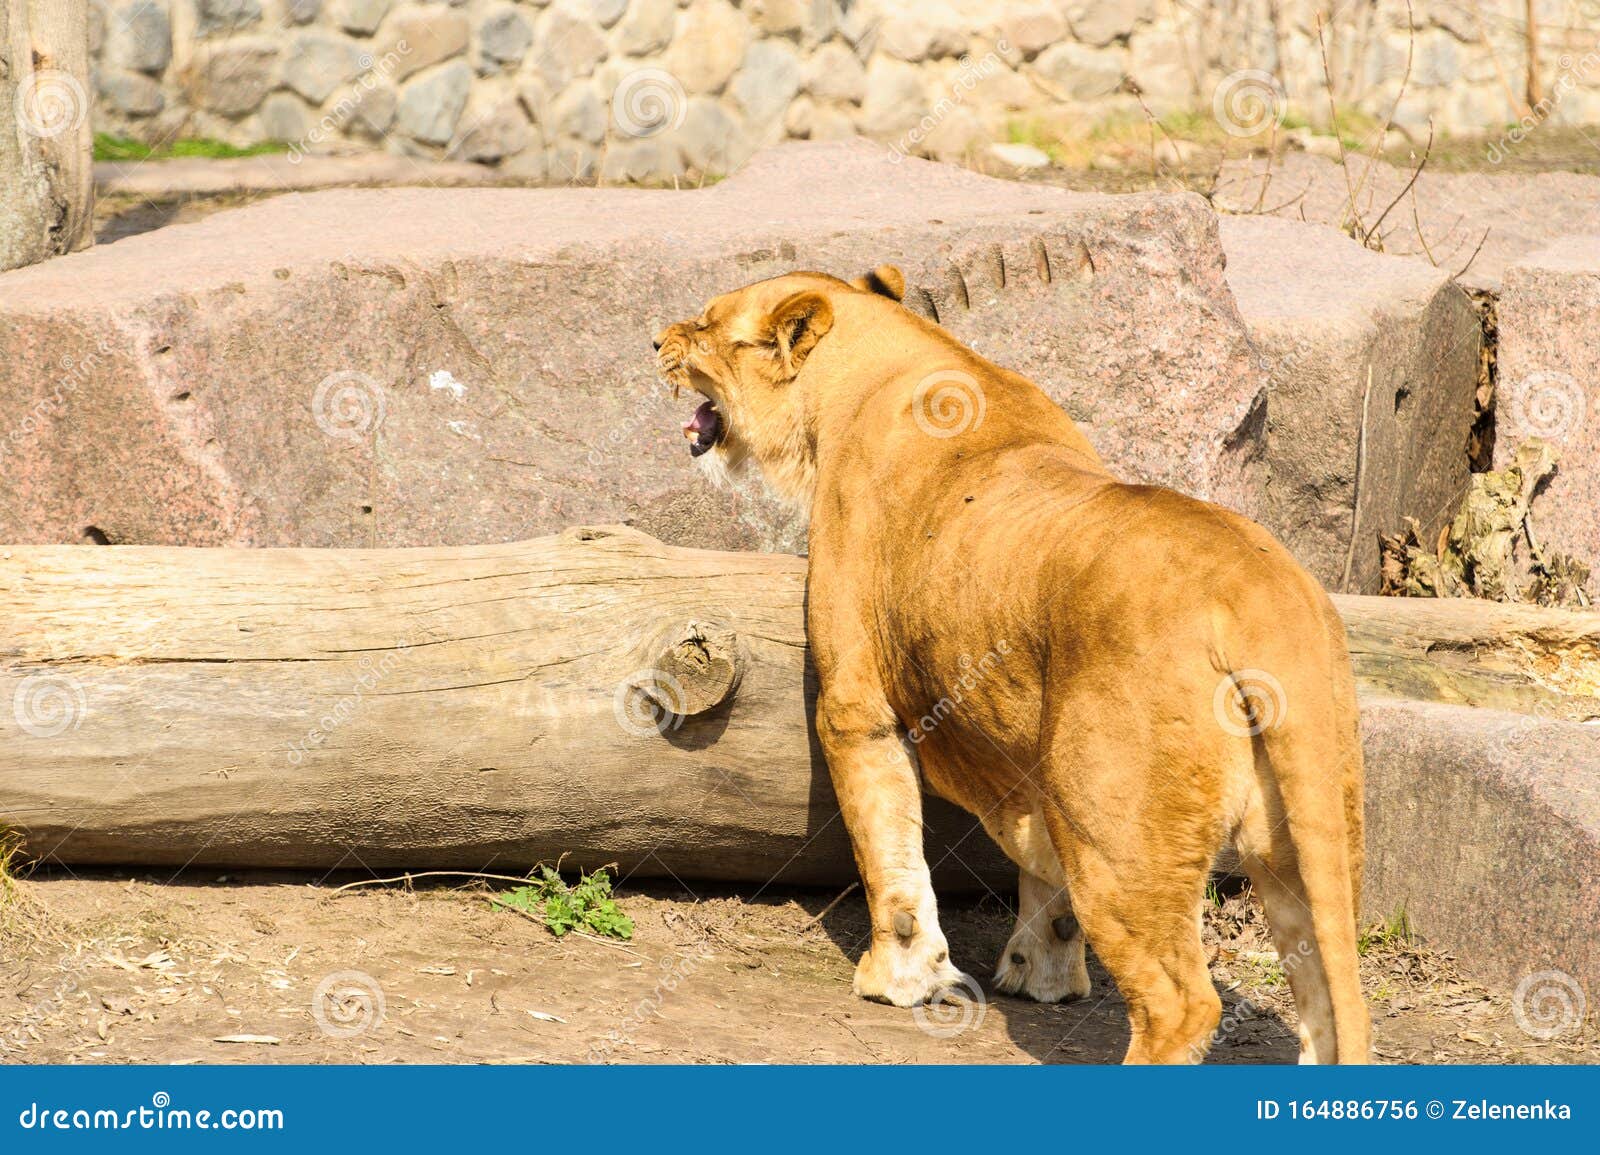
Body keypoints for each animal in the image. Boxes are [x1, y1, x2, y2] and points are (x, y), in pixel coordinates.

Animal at [652, 266, 1370, 1064]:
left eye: (707, 323)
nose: (656, 341)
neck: (876, 365)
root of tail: (1261, 598)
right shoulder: (1024, 752)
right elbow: (1041, 878)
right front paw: (1041, 973)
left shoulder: (855, 705)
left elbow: (888, 849)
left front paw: (900, 977)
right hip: (1308, 825)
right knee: (1328, 983)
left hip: (1116, 825)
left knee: (1181, 1002)